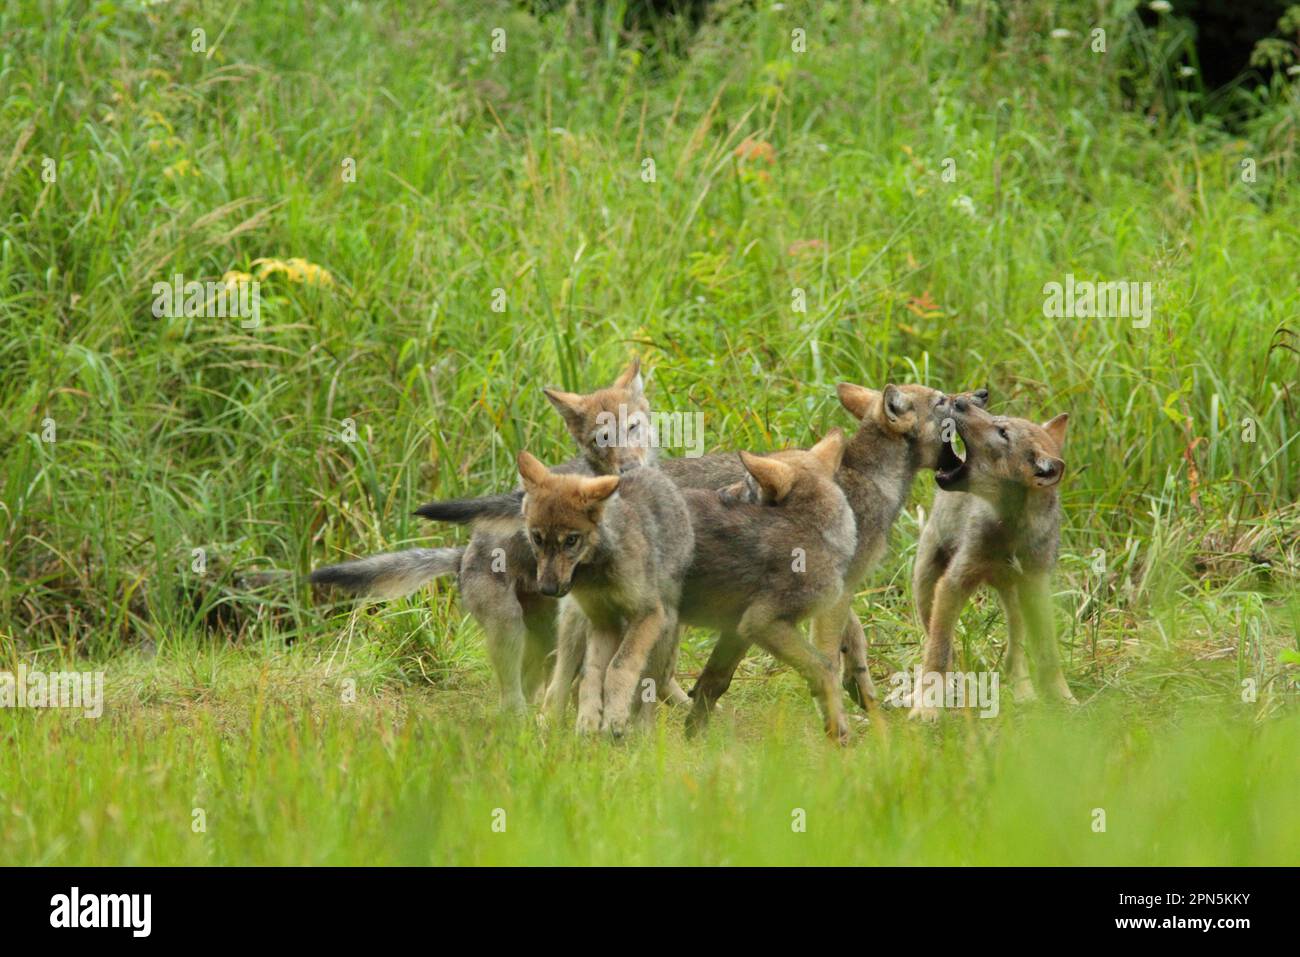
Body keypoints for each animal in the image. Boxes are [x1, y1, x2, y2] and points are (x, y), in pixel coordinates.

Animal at [907, 397, 1074, 720]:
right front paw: (926, 707)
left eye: (1003, 432)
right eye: (999, 421)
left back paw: (1024, 694)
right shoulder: (953, 583)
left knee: (1015, 654)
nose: (959, 400)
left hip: (1016, 598)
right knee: (934, 642)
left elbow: (1048, 653)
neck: (1010, 529)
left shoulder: (1037, 588)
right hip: (925, 587)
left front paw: (1064, 699)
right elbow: (938, 653)